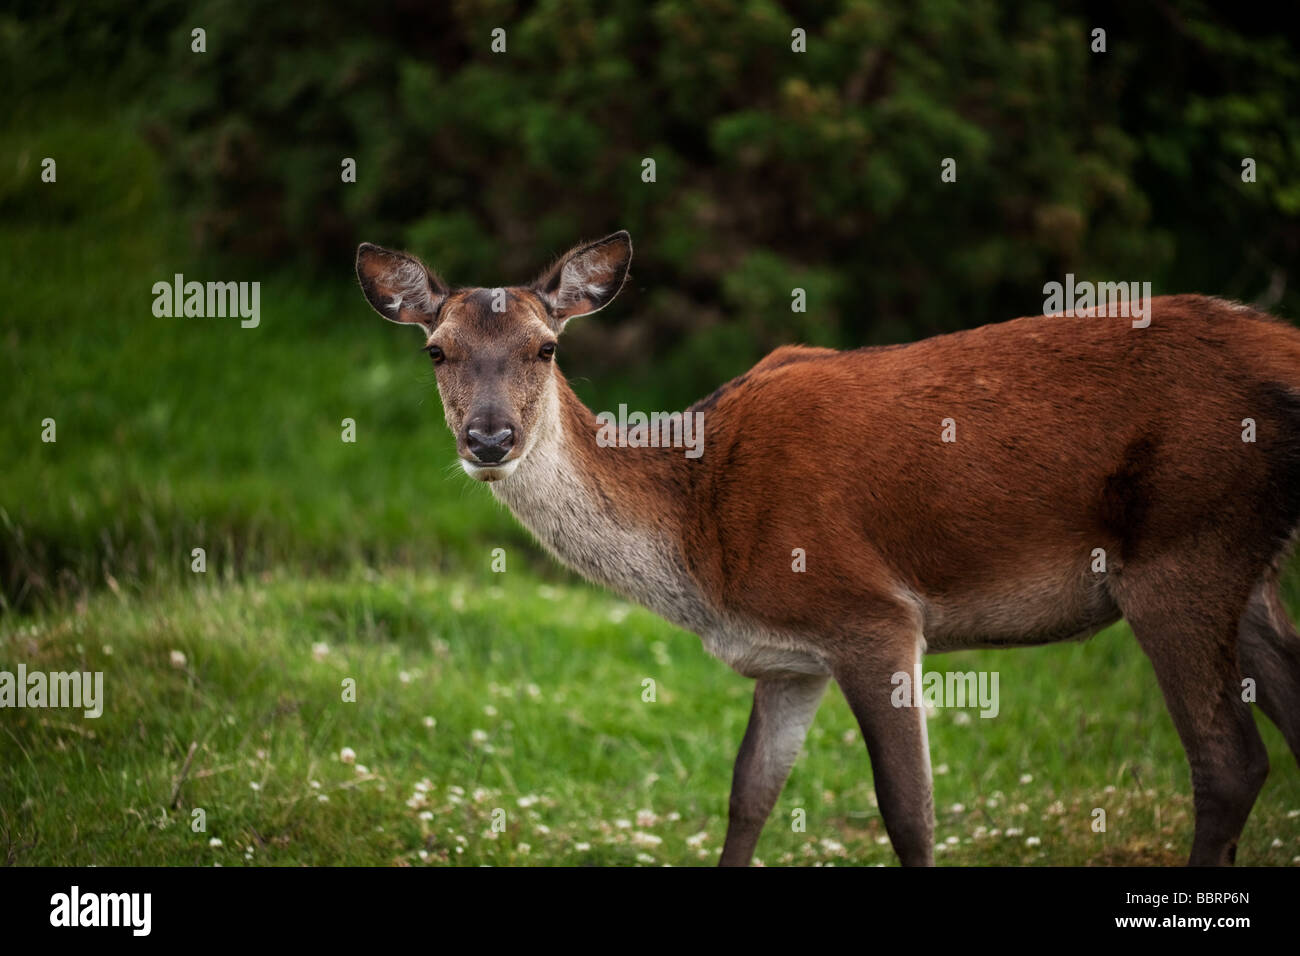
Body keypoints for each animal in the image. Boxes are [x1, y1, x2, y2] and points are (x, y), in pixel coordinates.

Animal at [356, 230, 1300, 866]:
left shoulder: (870, 614)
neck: (699, 538)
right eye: (436, 350)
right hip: (1242, 564)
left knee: (1229, 761)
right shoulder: (788, 661)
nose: (489, 438)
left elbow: (910, 811)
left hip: (1182, 546)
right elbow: (748, 796)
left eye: (545, 348)